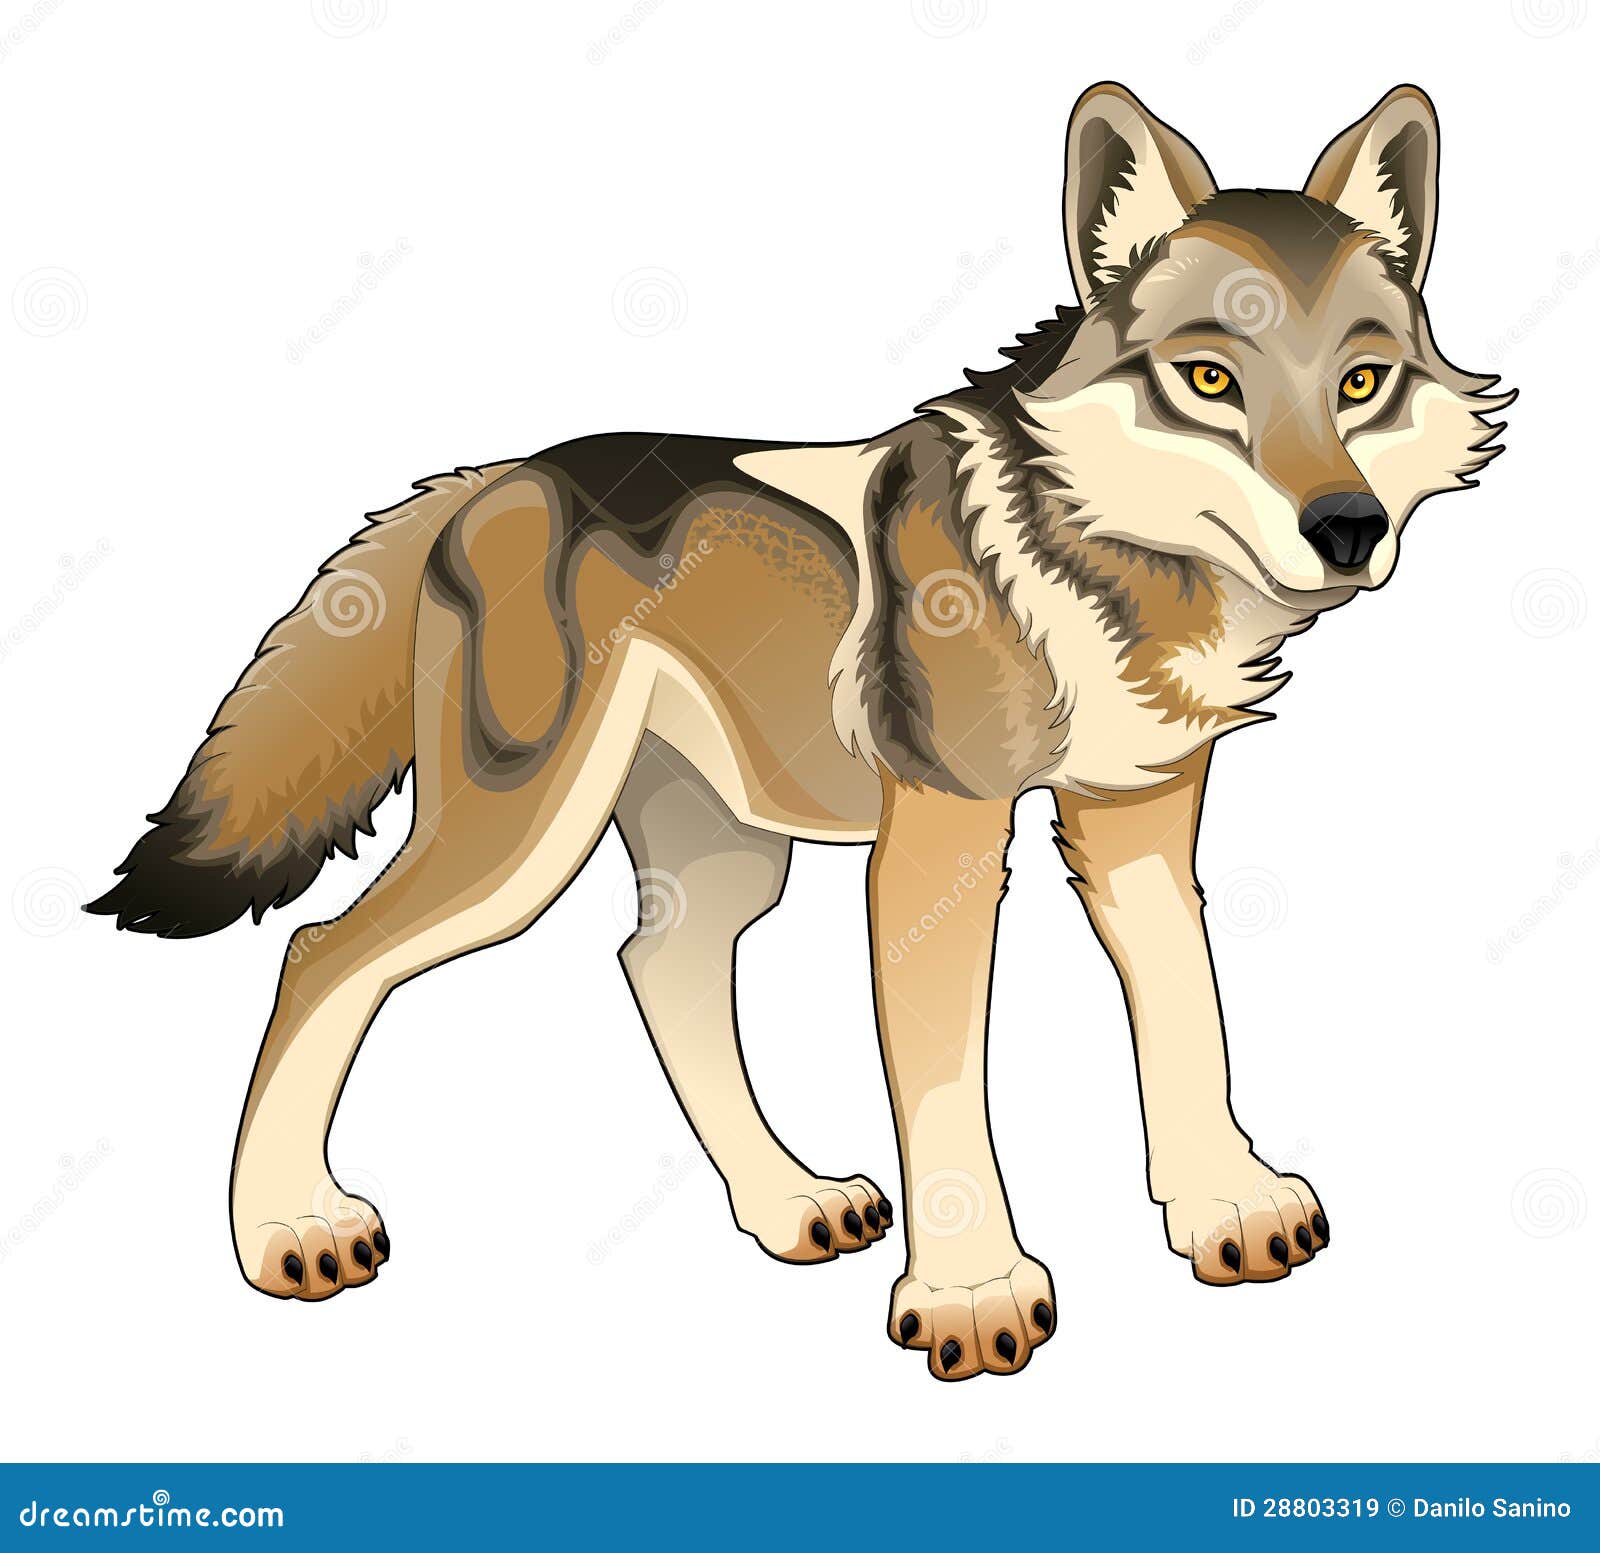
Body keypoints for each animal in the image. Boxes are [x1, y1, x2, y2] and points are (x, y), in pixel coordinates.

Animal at [90, 84, 1509, 1379]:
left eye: (1363, 382)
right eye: (1210, 378)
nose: (1345, 527)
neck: (1092, 561)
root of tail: (494, 475)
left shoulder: (1137, 816)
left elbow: (1188, 1018)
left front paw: (1227, 1205)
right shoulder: (939, 846)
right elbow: (944, 1091)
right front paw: (971, 1294)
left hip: (721, 856)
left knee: (653, 966)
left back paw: (786, 1204)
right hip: (518, 849)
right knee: (321, 955)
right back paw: (287, 1230)